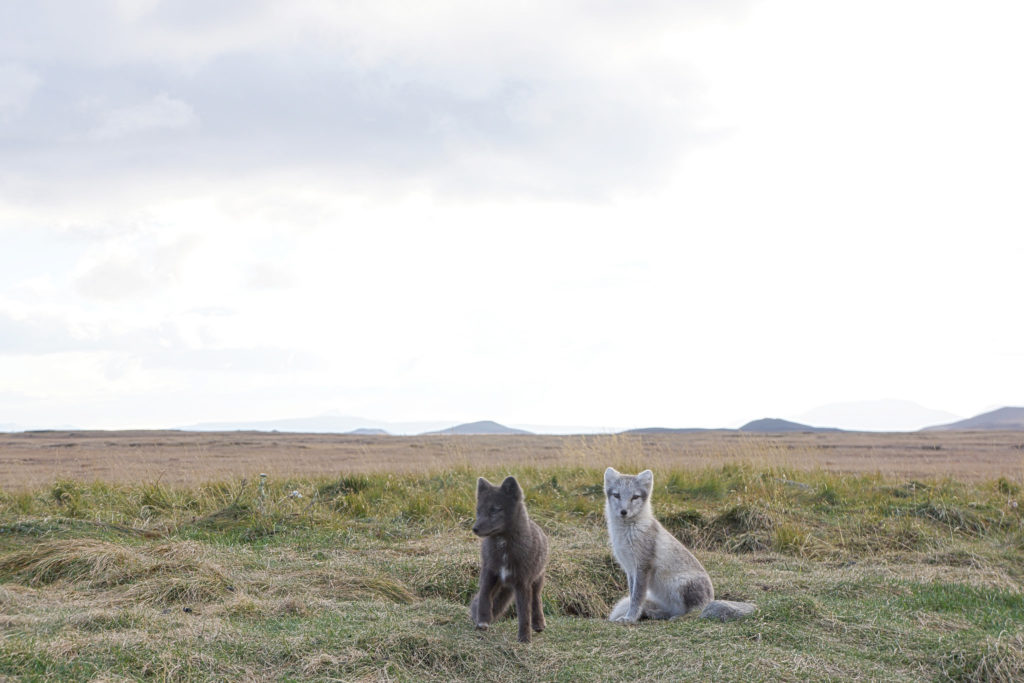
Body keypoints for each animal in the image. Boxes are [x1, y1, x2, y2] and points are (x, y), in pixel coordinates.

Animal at [469, 475, 549, 643]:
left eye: (495, 509)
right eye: (478, 511)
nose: (475, 529)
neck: (504, 549)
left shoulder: (522, 583)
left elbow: (524, 613)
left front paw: (524, 638)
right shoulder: (489, 571)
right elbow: (484, 597)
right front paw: (482, 621)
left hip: (536, 581)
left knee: (536, 600)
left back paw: (538, 624)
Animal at [604, 467, 756, 623]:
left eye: (635, 497)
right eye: (616, 495)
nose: (623, 512)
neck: (627, 532)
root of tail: (711, 599)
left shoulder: (643, 566)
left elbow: (637, 598)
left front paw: (630, 618)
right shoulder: (630, 569)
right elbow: (633, 594)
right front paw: (629, 616)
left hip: (681, 584)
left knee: (693, 612)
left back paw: (679, 617)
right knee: (668, 611)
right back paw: (657, 614)